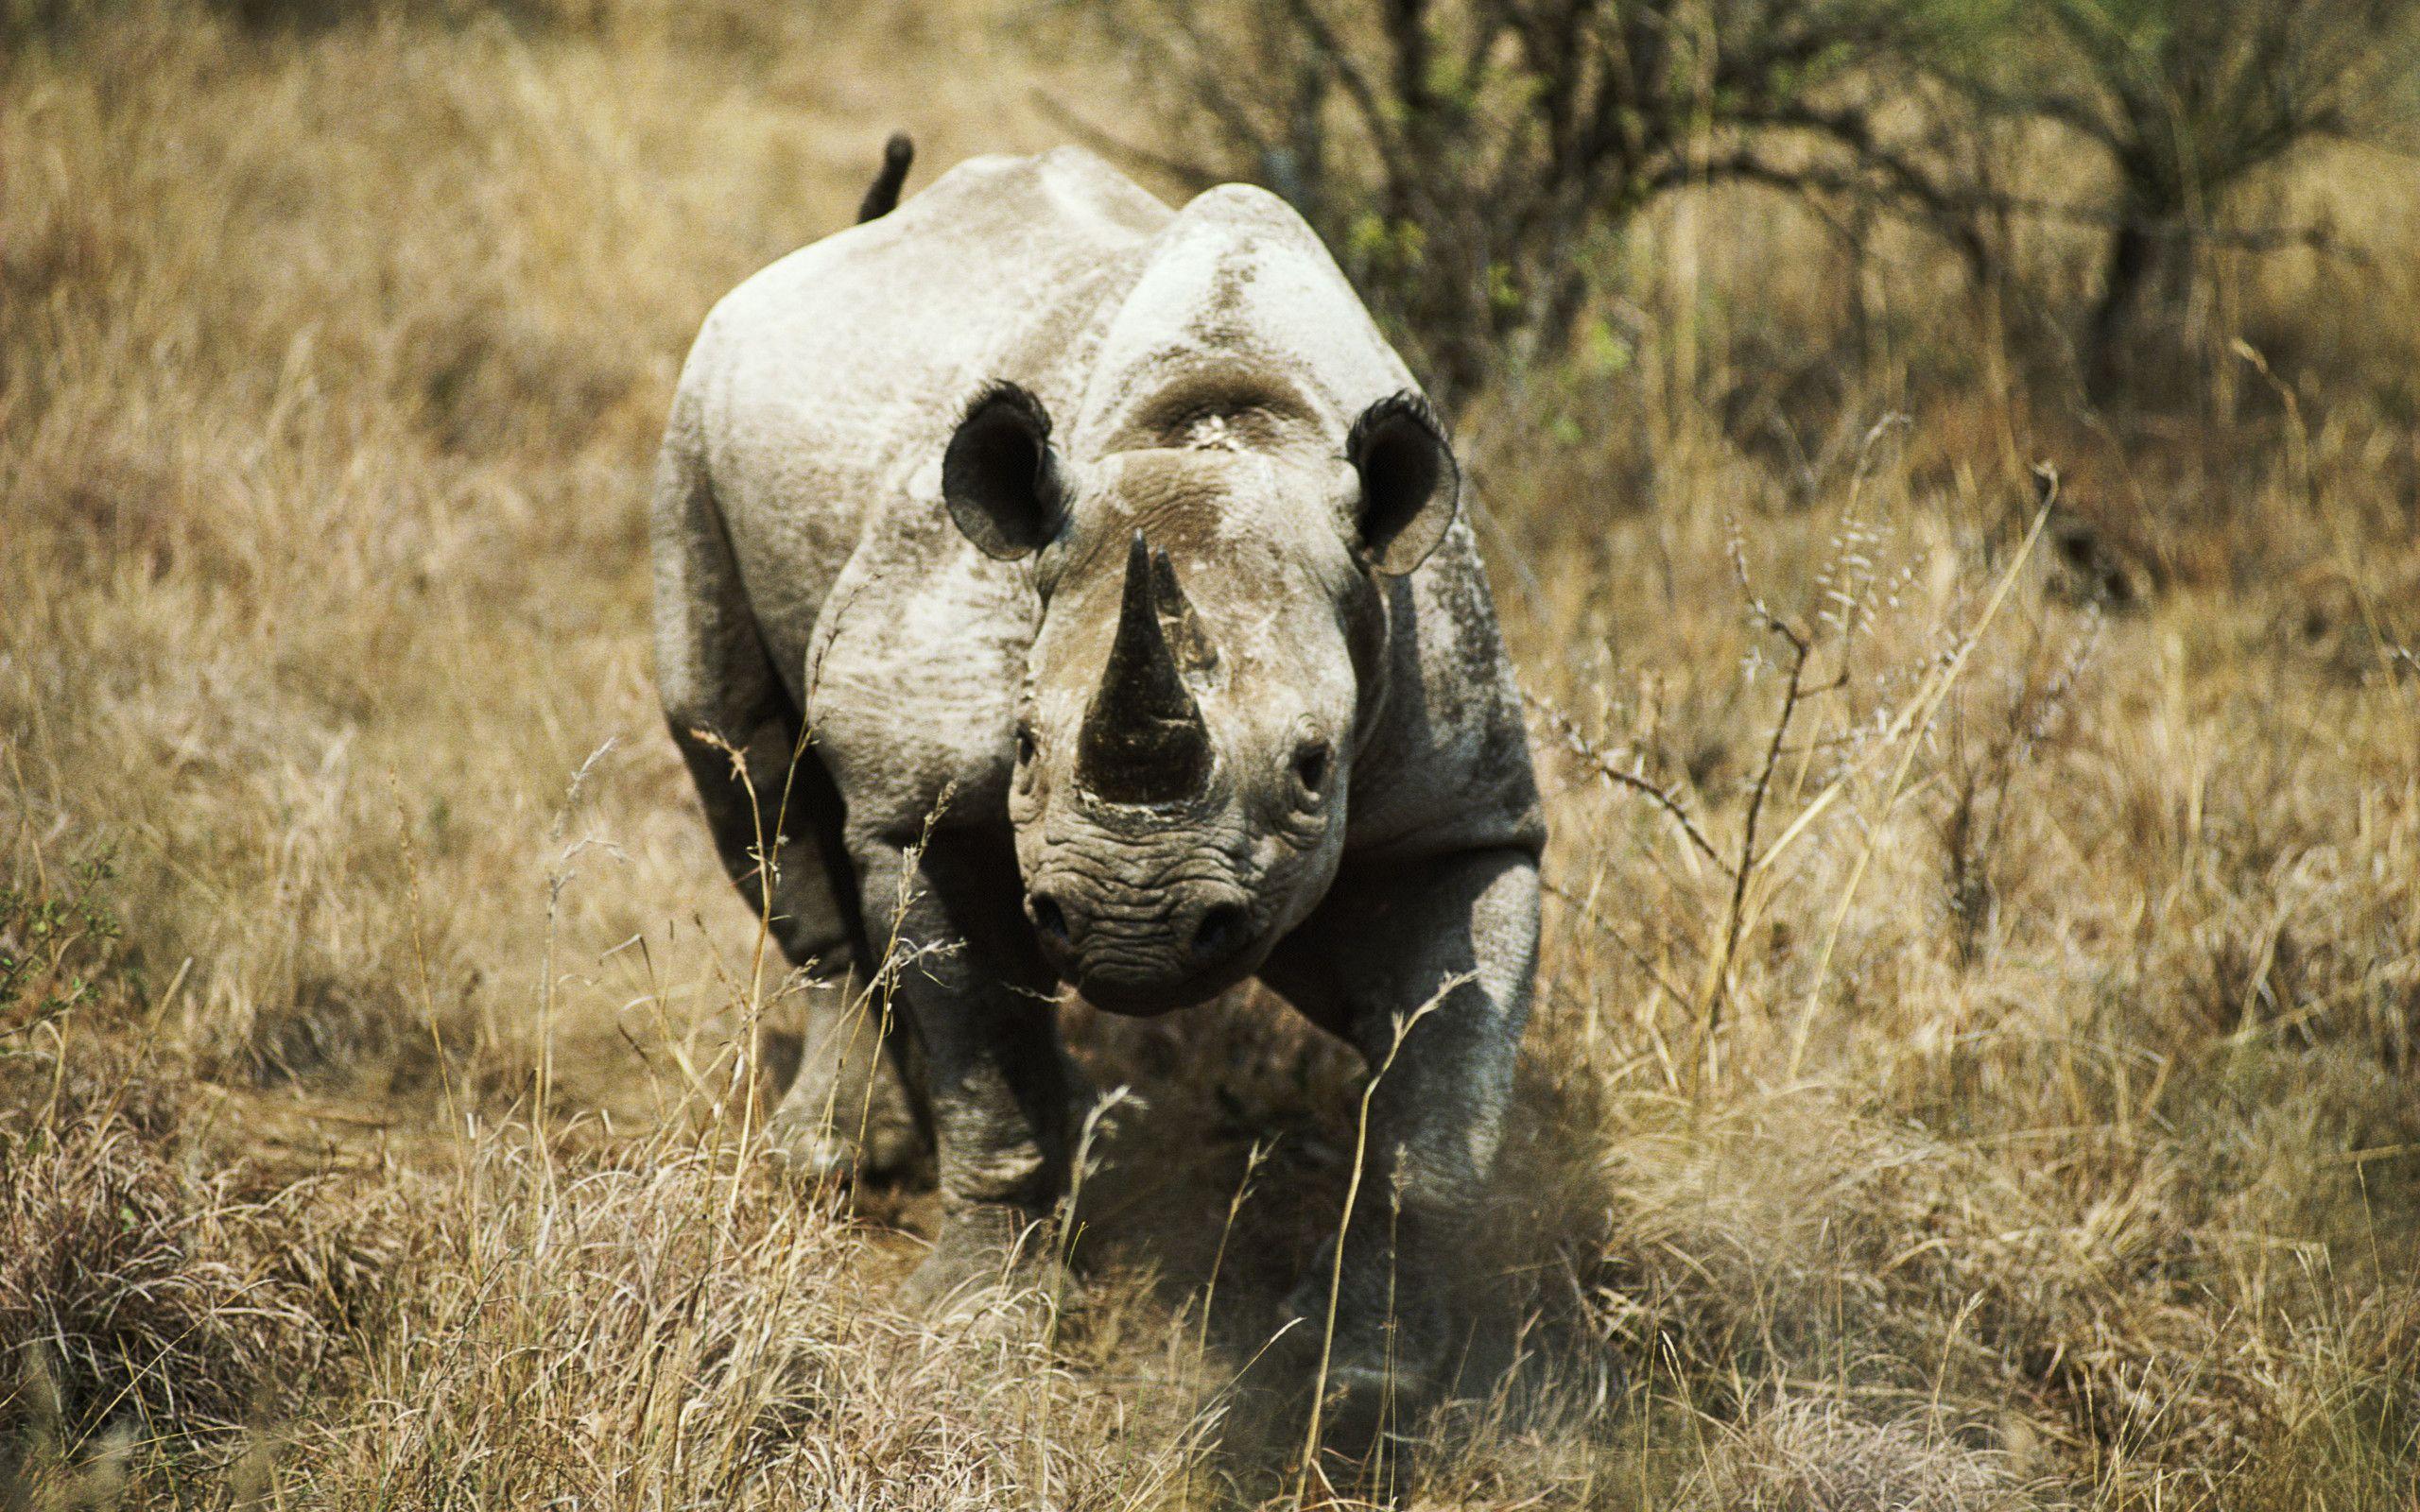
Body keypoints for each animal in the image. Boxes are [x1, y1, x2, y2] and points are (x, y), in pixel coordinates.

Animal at [651, 136, 1543, 1427]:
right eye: (1023, 745)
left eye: (1313, 766)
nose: (1134, 925)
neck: (1233, 427)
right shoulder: (921, 800)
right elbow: (980, 1057)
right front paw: (977, 1322)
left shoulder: (1464, 822)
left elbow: (1439, 1116)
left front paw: (1368, 1383)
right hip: (697, 424)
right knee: (745, 767)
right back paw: (834, 1160)